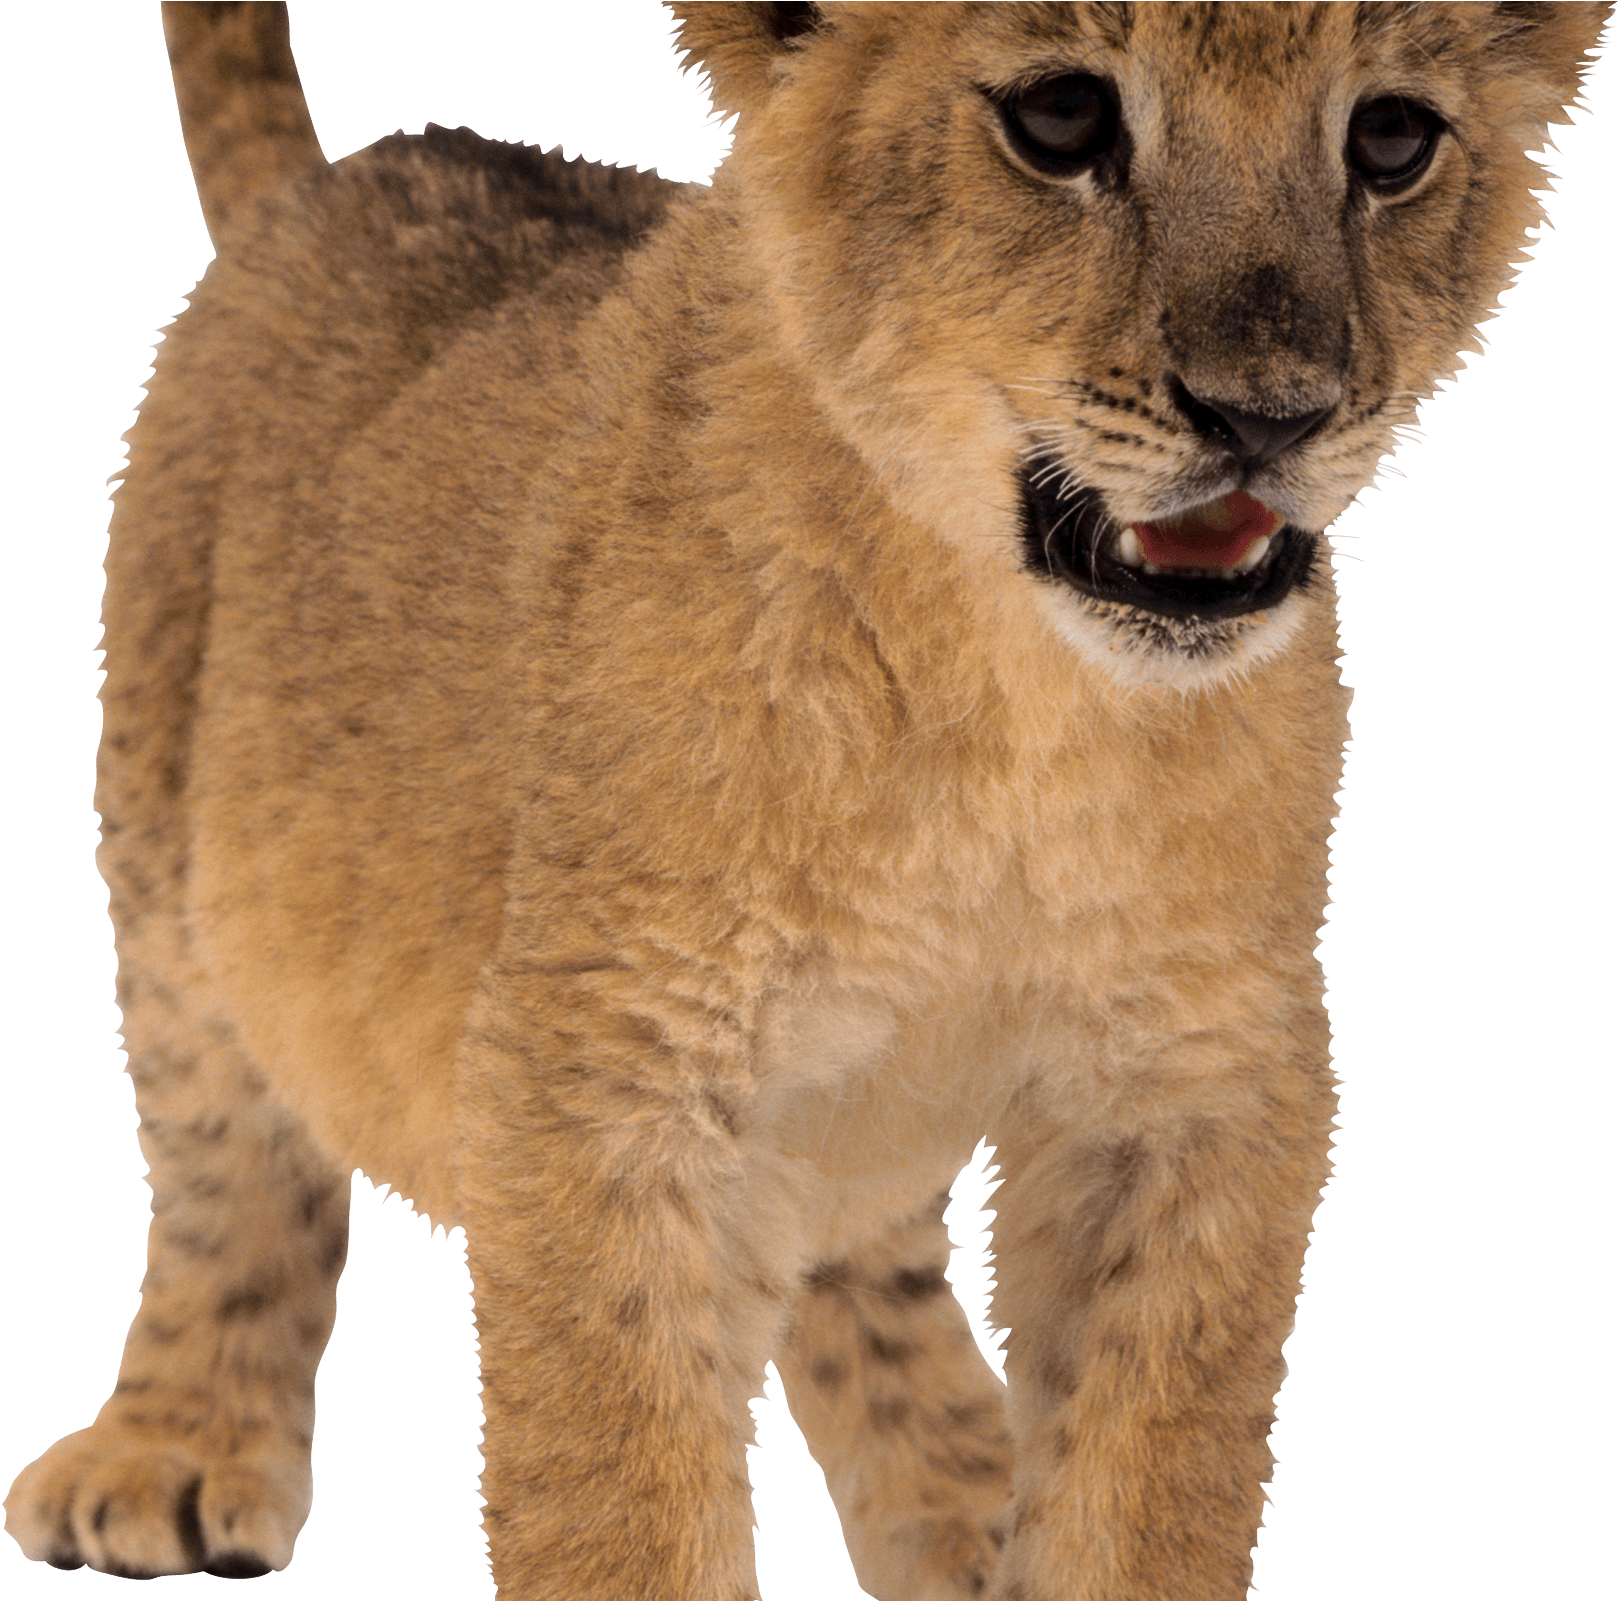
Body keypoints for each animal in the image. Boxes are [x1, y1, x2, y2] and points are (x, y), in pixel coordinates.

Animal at [6, 3, 1608, 1598]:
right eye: (1060, 119)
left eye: (1389, 138)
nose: (1269, 416)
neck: (1012, 704)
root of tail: (322, 187)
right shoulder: (606, 1069)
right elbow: (619, 1499)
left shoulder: (1194, 1073)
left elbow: (1143, 1480)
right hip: (167, 852)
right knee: (226, 1163)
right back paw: (173, 1454)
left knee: (860, 1250)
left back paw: (964, 1504)